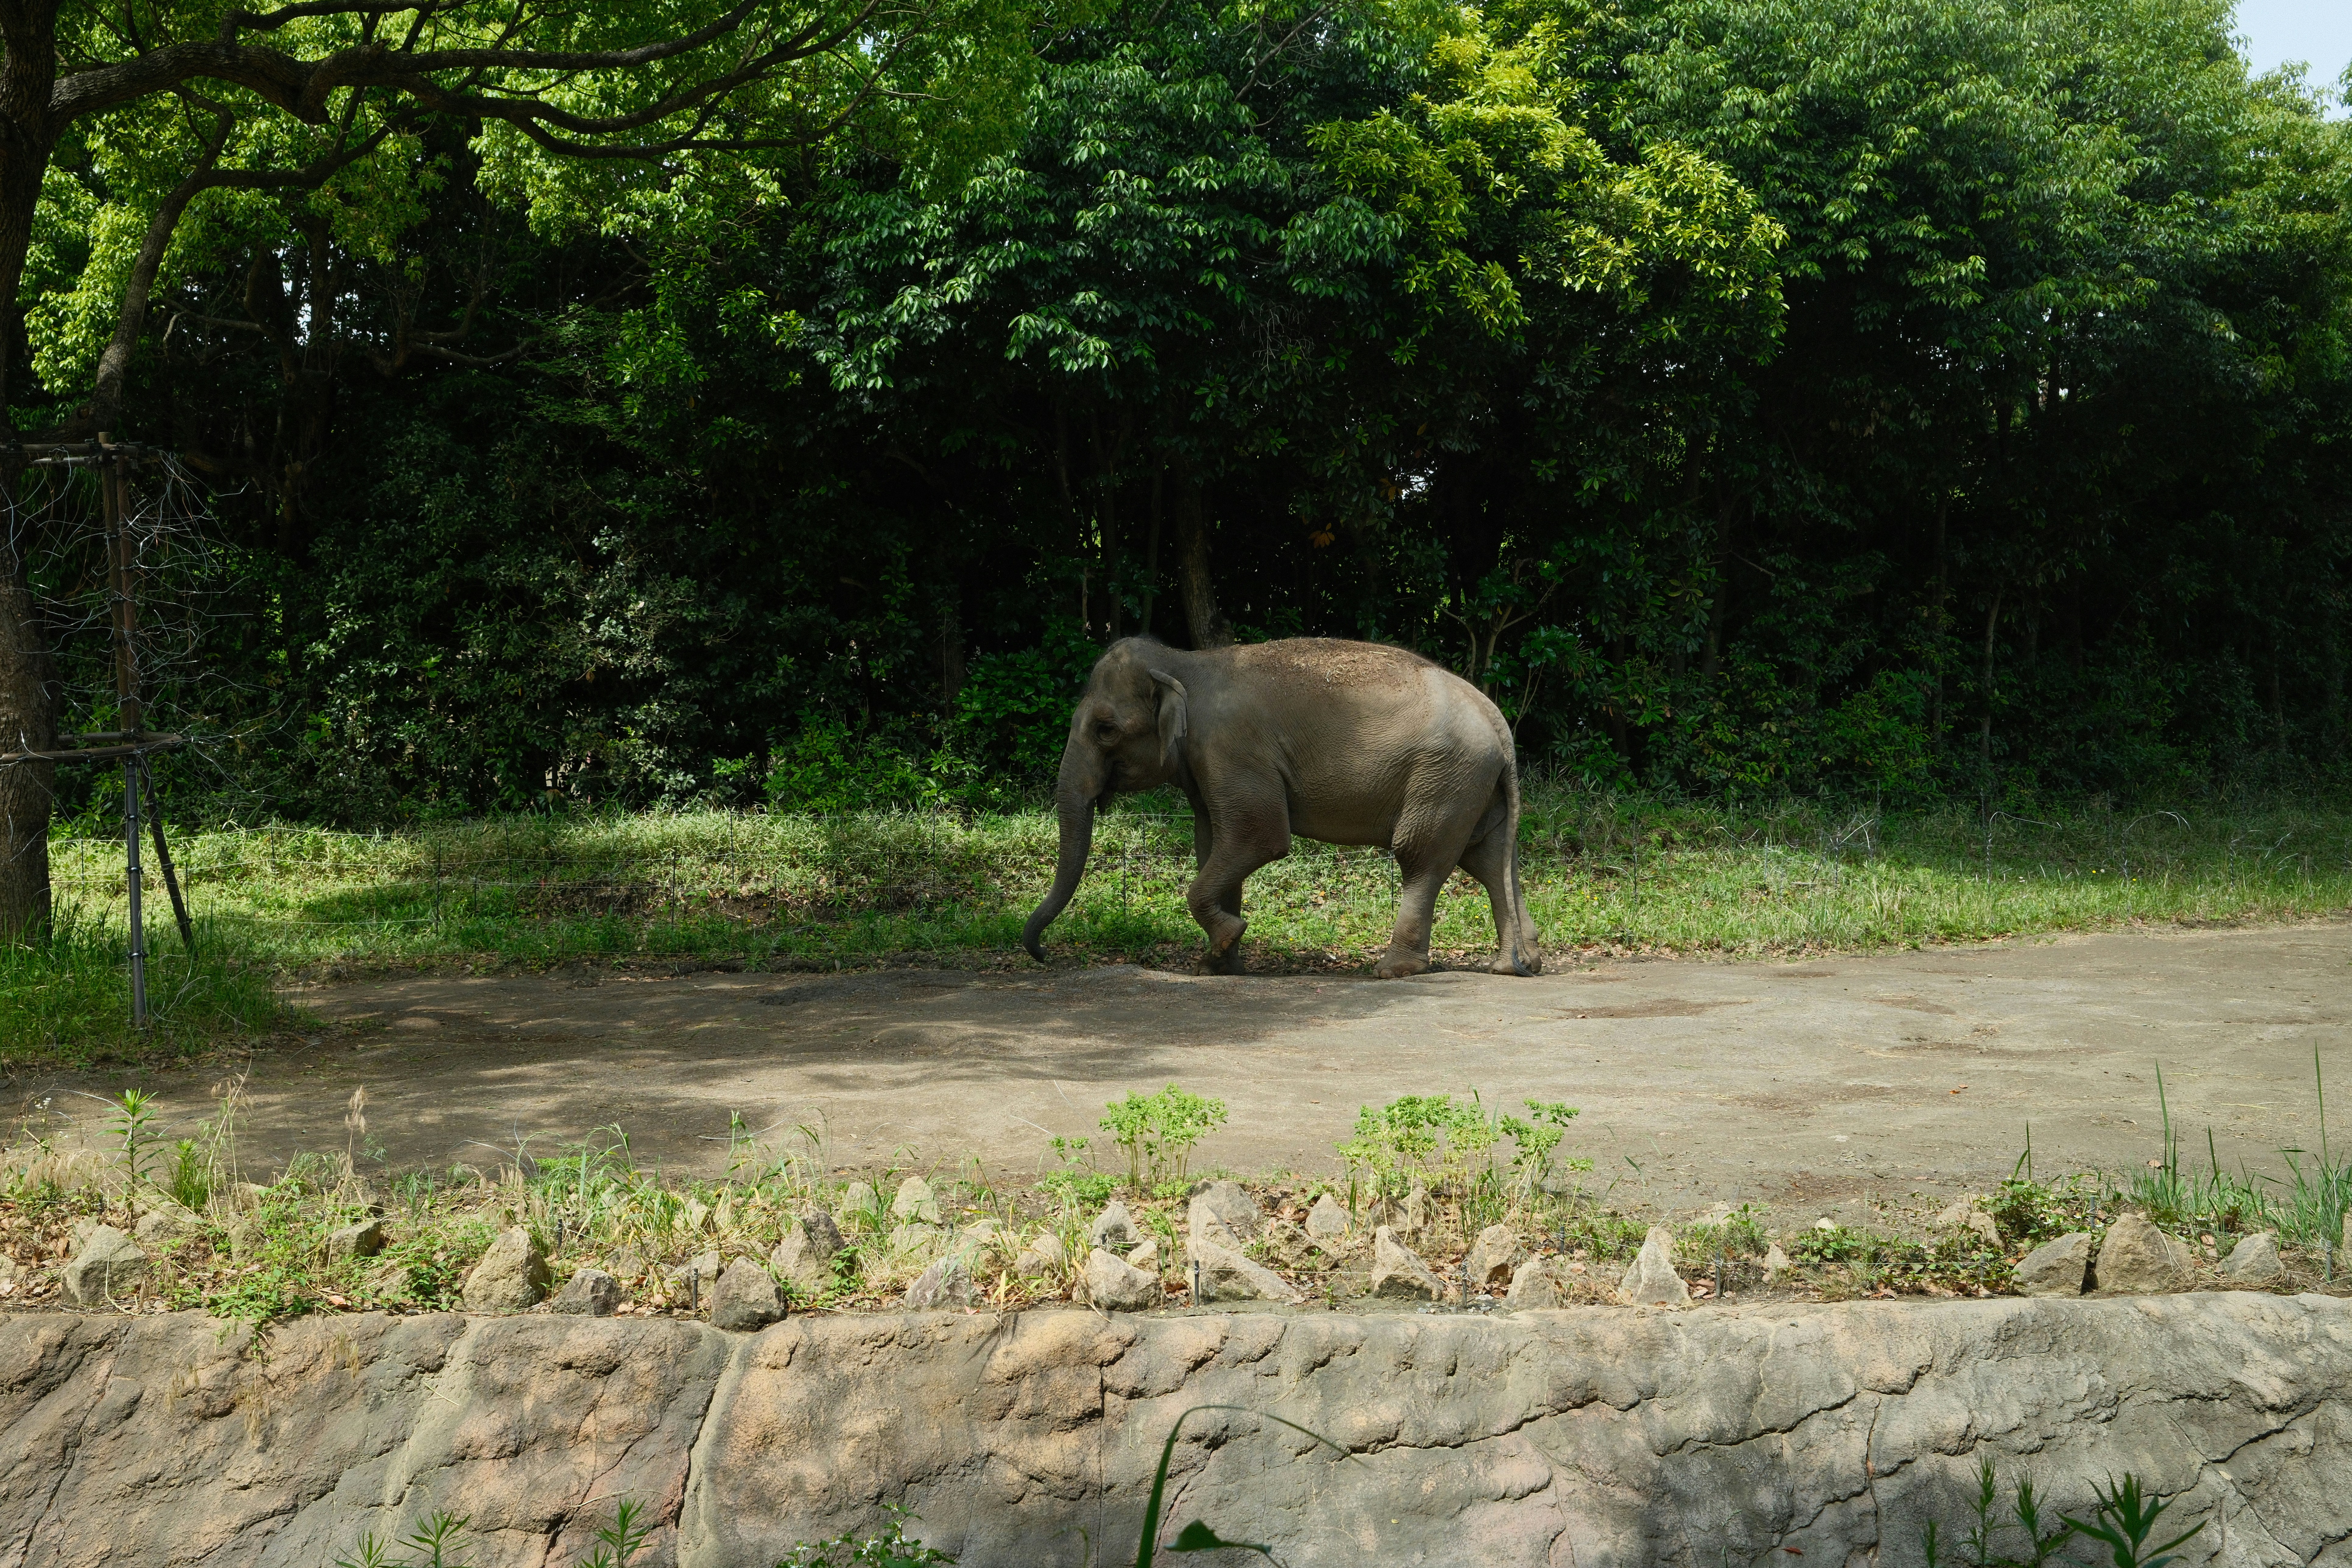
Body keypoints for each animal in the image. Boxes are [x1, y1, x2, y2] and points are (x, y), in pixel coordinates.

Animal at [1021, 635, 1541, 977]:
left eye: (1106, 729)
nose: (1042, 955)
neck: (1184, 662)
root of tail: (1498, 721)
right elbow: (1213, 844)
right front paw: (1218, 963)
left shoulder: (1232, 748)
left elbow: (1259, 837)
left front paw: (1228, 939)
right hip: (1474, 783)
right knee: (1490, 860)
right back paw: (1515, 966)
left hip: (1445, 777)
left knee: (1421, 858)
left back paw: (1393, 970)